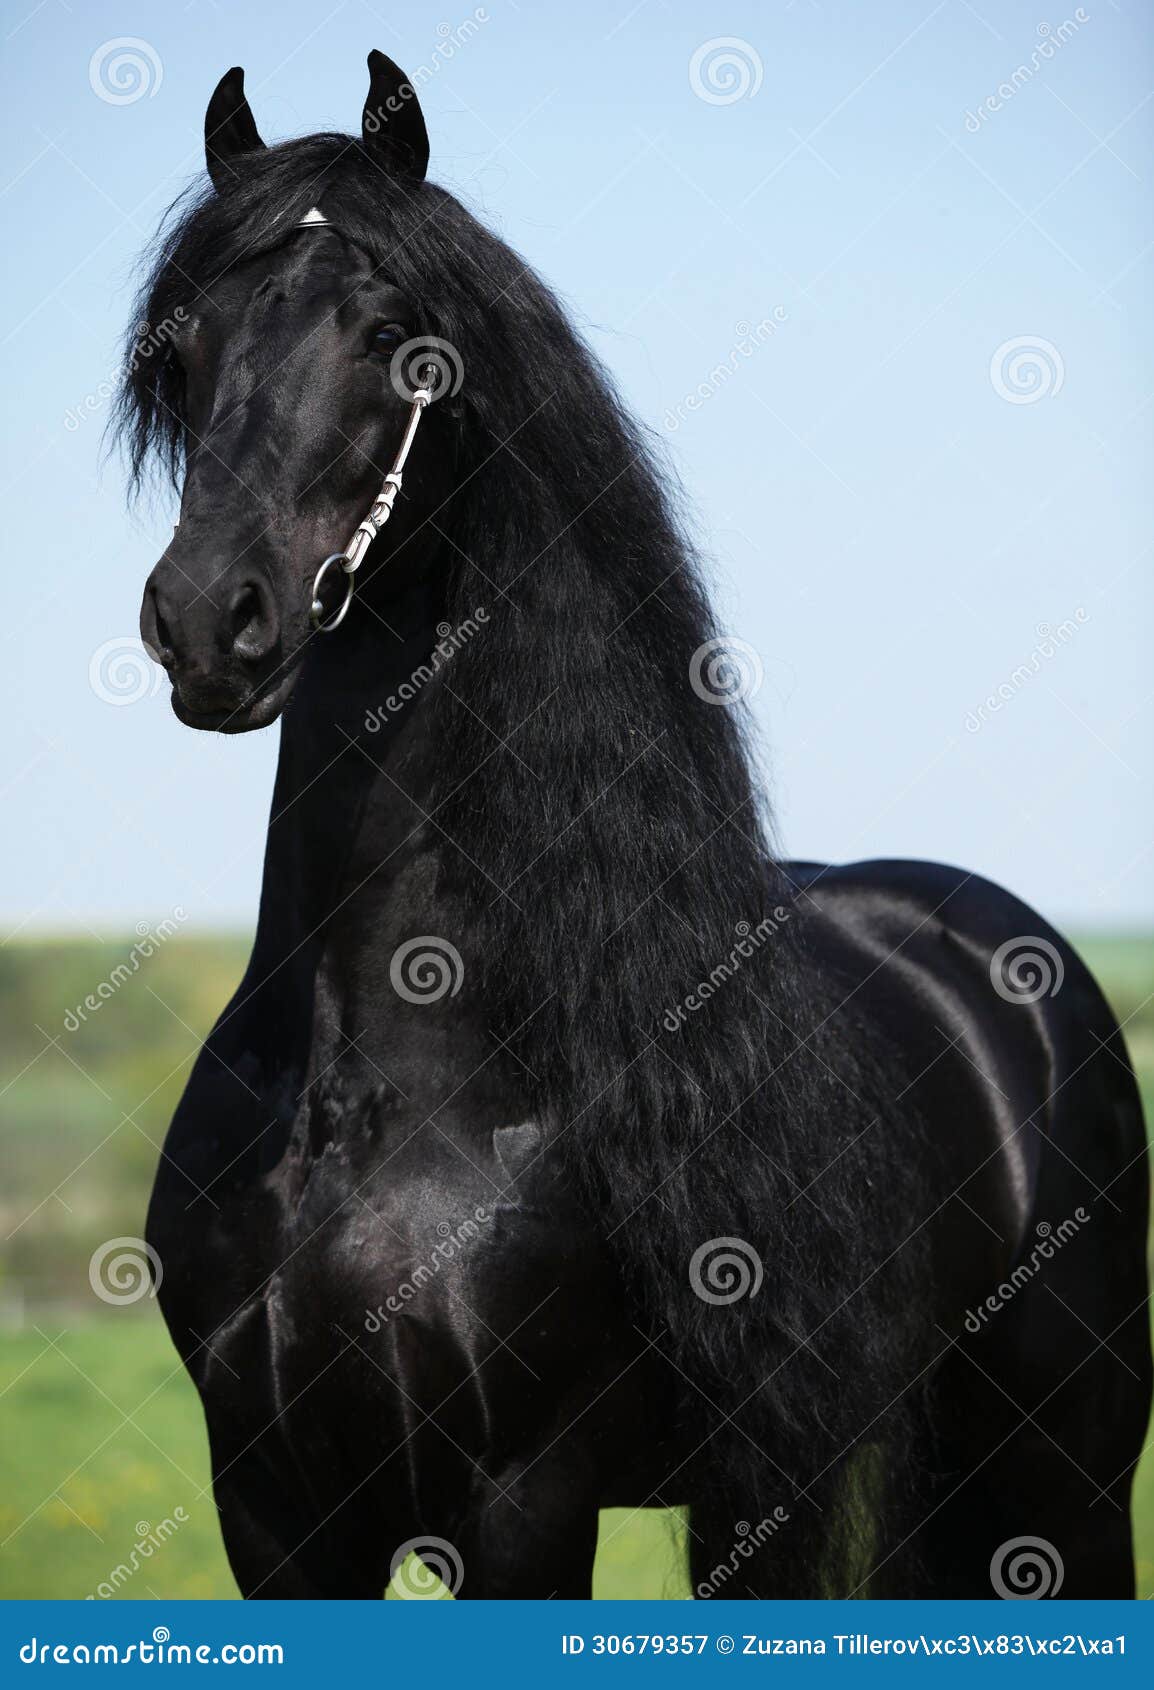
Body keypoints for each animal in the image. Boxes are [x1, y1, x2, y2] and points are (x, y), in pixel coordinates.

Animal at [119, 53, 1151, 1600]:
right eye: (182, 344)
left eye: (394, 339)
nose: (206, 623)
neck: (370, 1082)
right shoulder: (272, 1507)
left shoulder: (524, 1500)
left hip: (1063, 1478)